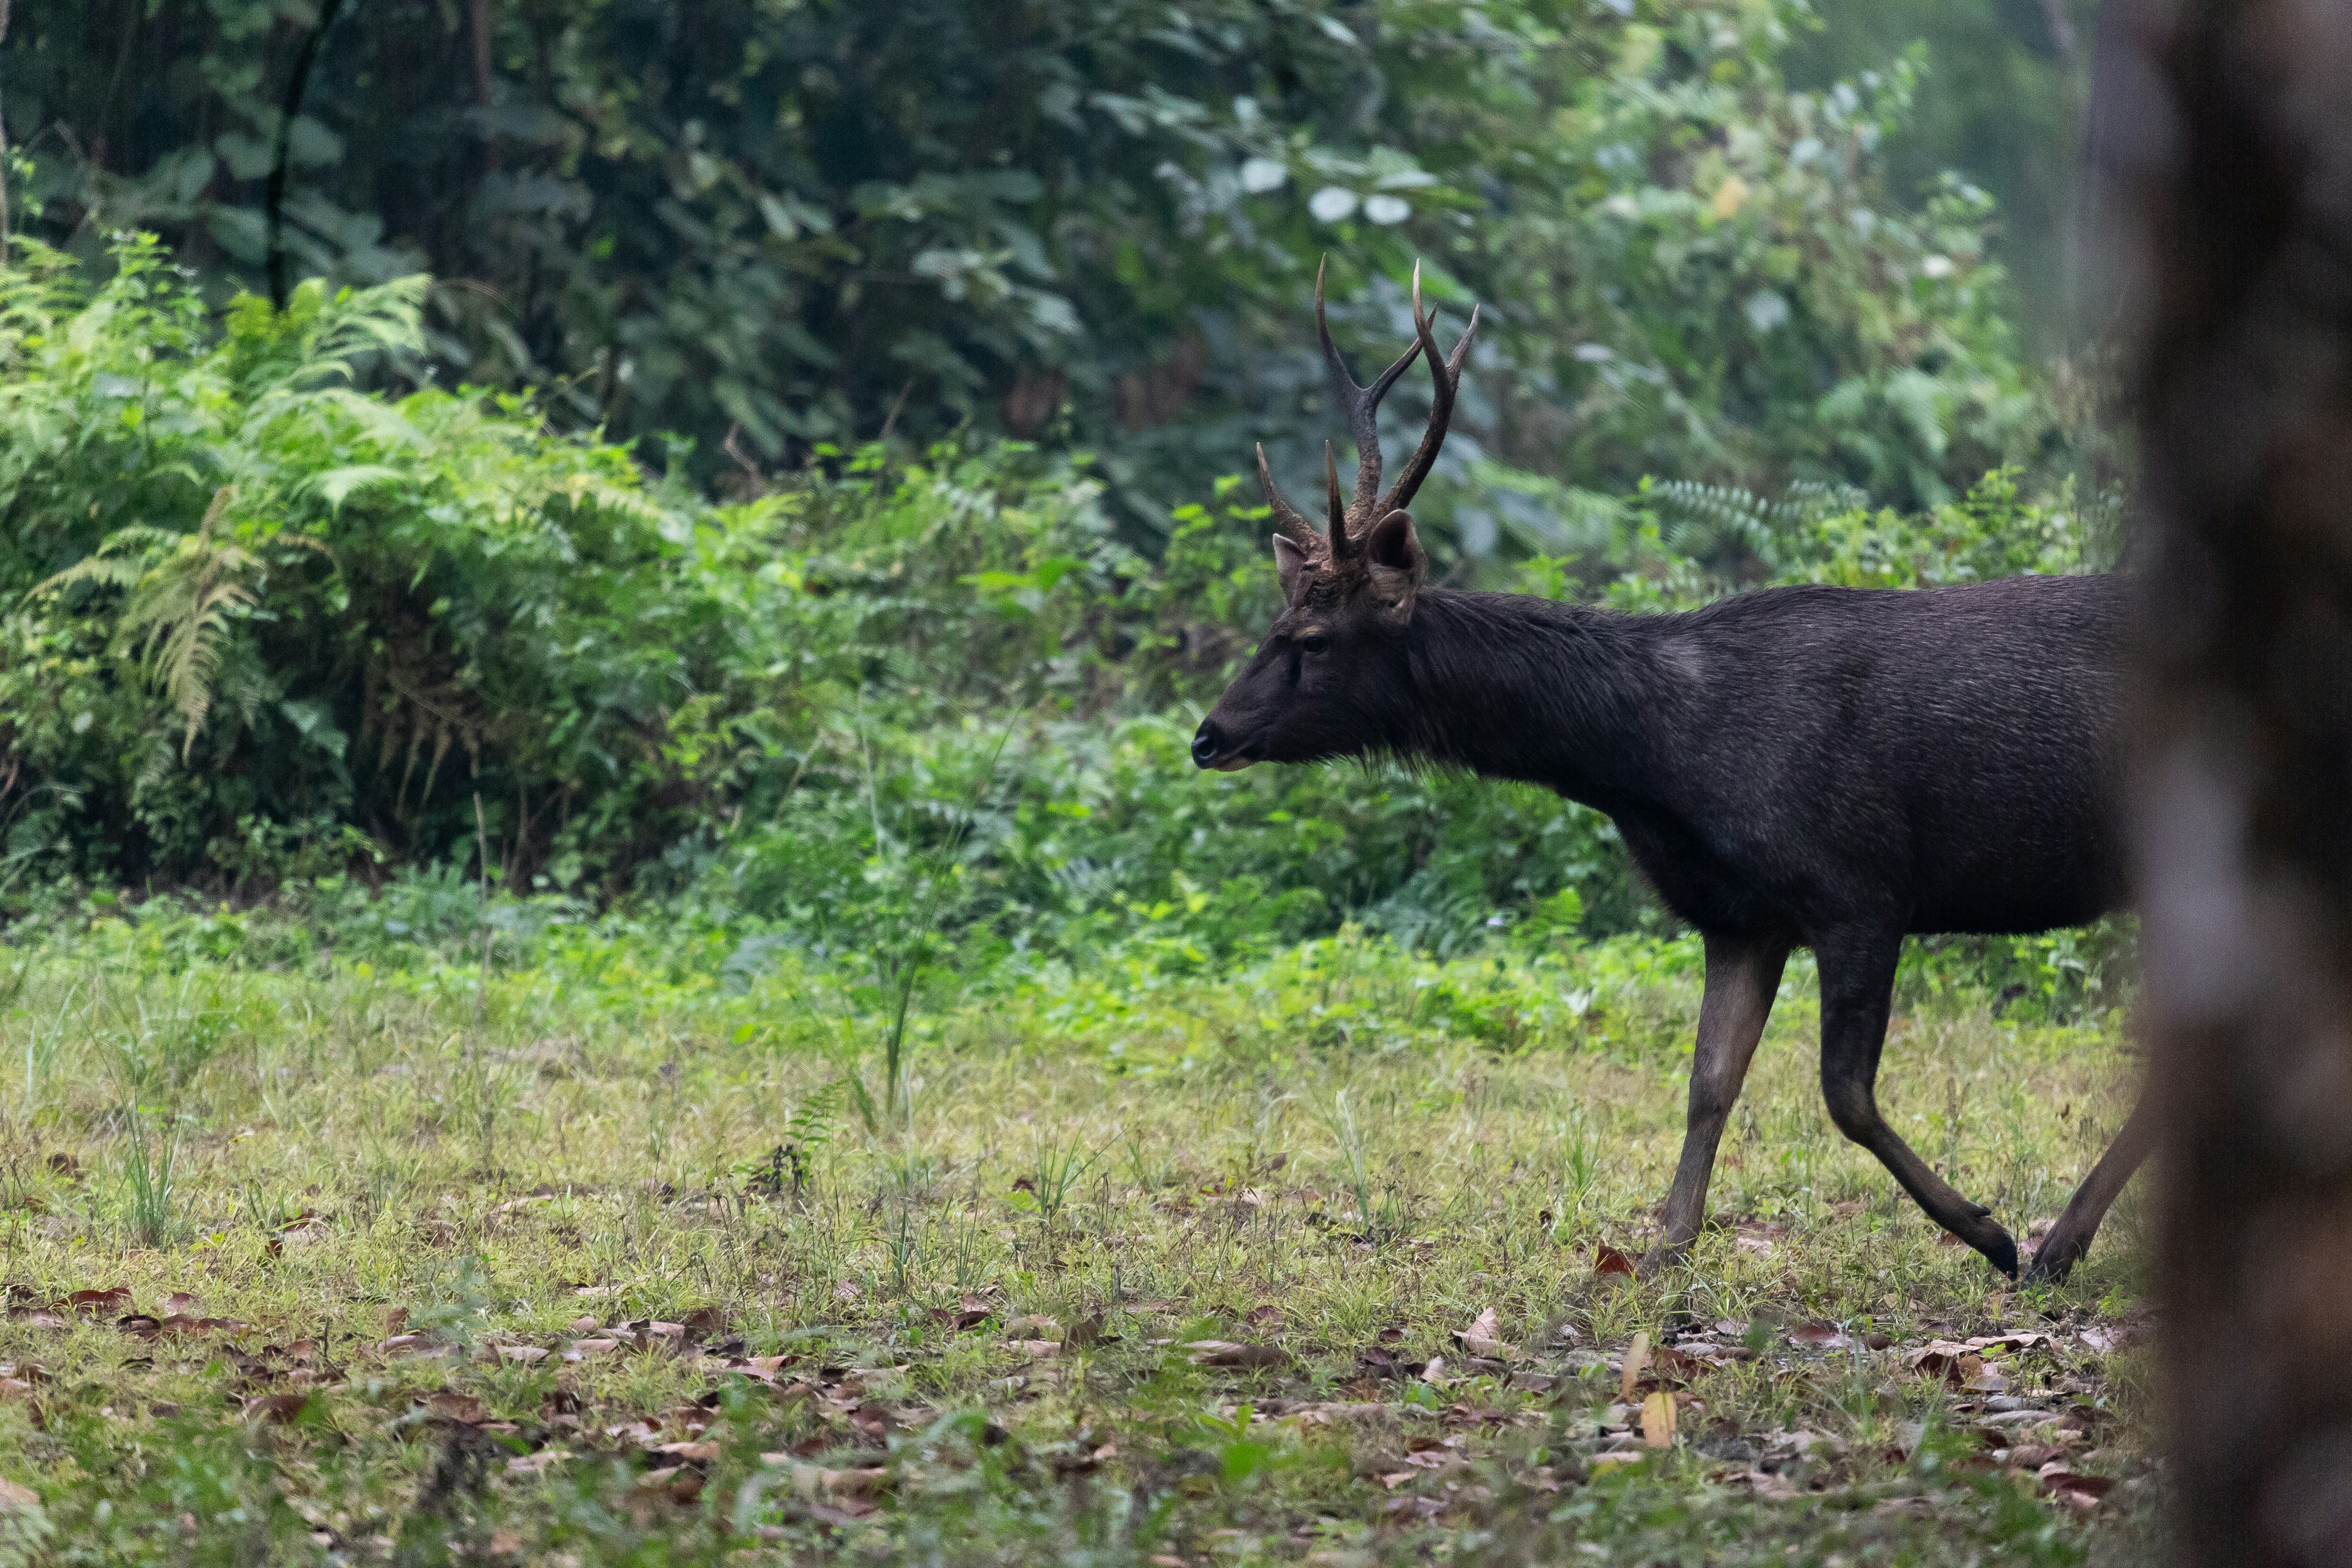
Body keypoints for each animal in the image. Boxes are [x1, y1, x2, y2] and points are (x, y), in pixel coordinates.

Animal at [1191, 264, 2146, 1284]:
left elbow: (1844, 1096)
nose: (1208, 736)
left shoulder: (1860, 886)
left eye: (1313, 638)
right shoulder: (1739, 915)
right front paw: (1662, 1250)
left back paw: (2054, 1244)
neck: (1661, 763)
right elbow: (1708, 1082)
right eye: (1275, 622)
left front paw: (1989, 1231)